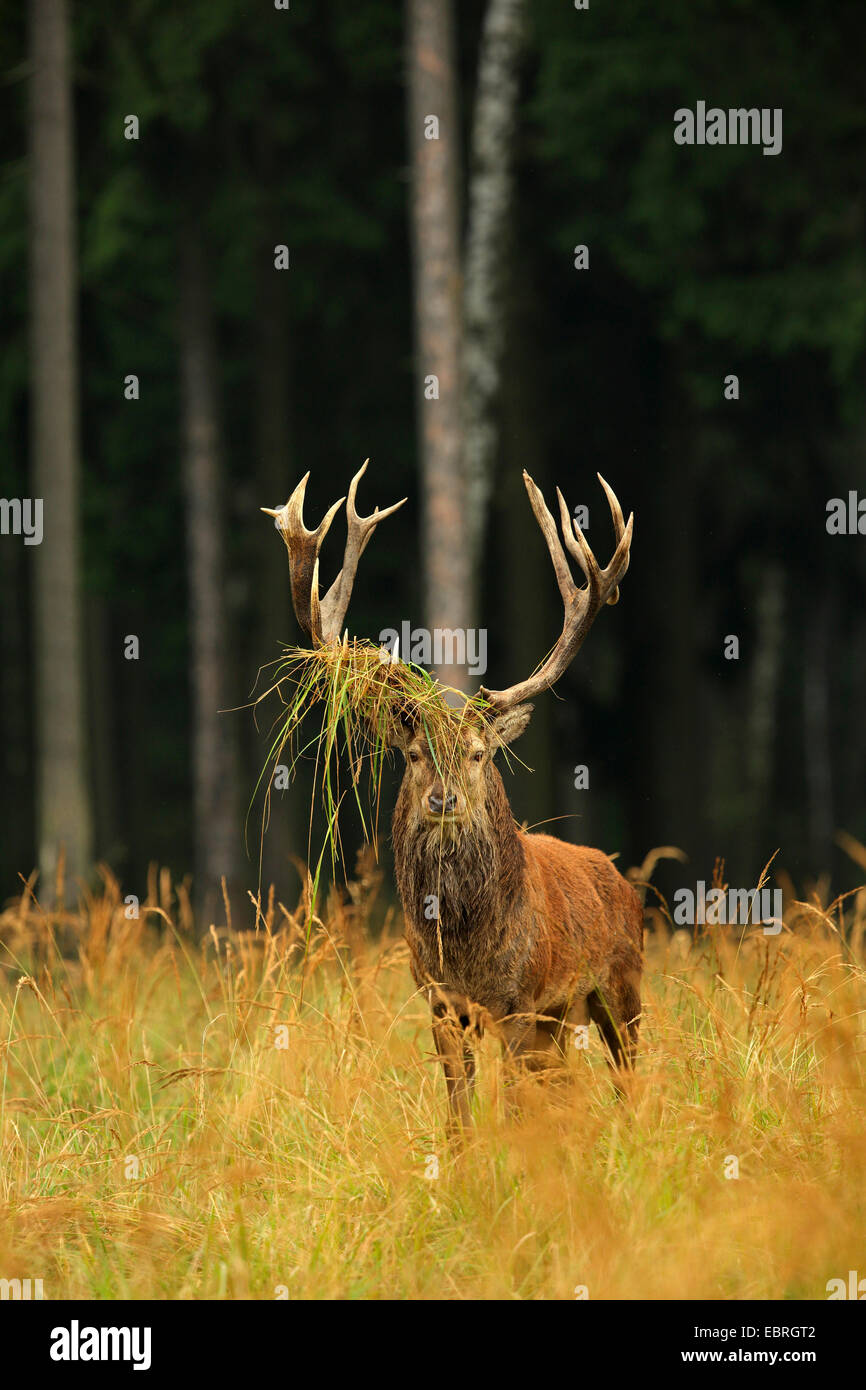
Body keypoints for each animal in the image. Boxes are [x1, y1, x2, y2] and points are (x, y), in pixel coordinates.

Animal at [263, 460, 642, 1127]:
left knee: (629, 1075)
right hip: (561, 1019)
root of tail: (622, 880)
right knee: (567, 1084)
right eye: (415, 755)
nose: (444, 801)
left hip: (622, 986)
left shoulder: (520, 1000)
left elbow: (512, 1108)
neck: (468, 950)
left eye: (477, 753)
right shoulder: (439, 1002)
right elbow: (460, 1113)